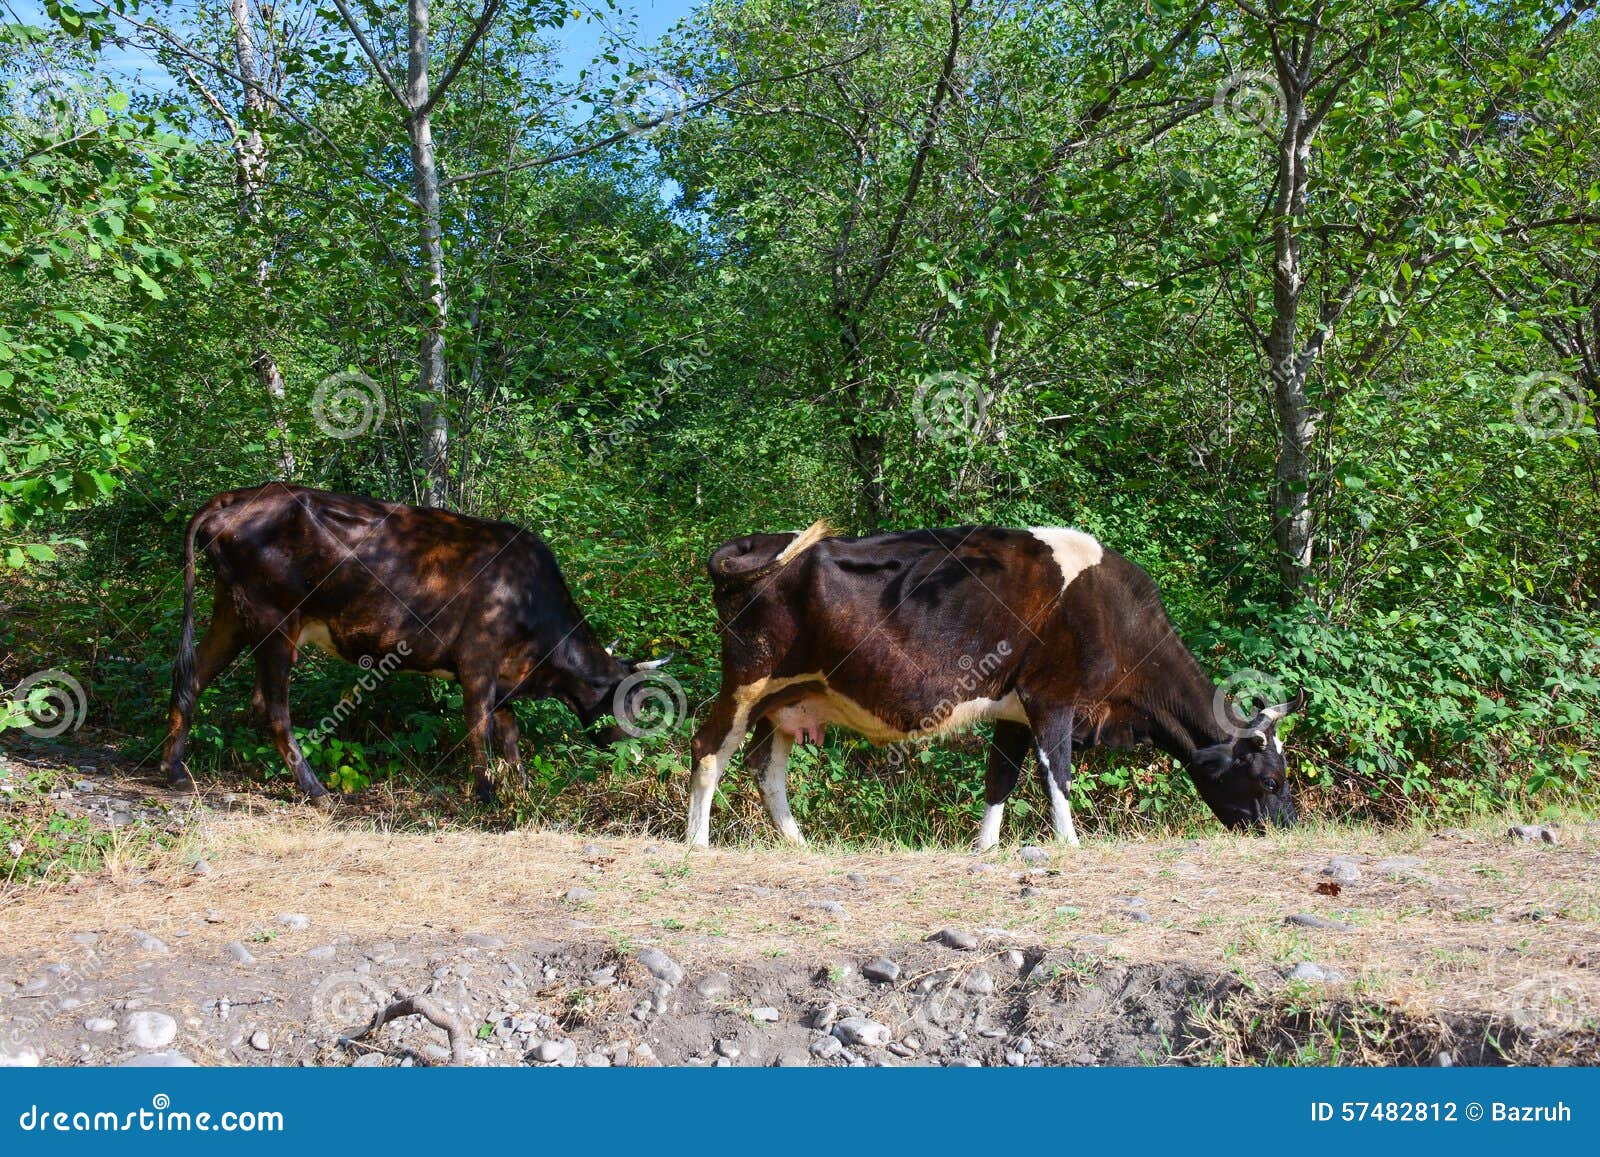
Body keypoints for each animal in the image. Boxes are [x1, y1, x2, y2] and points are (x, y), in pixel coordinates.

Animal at [158, 483, 666, 803]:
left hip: (232, 611)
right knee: (272, 707)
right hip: (274, 620)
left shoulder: (506, 674)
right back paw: (316, 791)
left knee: (192, 678)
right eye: (637, 702)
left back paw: (173, 770)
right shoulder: (477, 659)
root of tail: (236, 498)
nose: (640, 755)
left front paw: (520, 787)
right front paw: (486, 796)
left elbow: (510, 732)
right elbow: (480, 727)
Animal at [687, 522, 1301, 848]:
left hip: (788, 700)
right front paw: (1070, 845)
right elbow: (1058, 775)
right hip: (747, 680)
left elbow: (999, 781)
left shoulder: (1013, 712)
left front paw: (985, 849)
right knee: (708, 747)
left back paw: (800, 844)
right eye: (1271, 780)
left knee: (767, 769)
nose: (1290, 827)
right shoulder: (1052, 697)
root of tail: (759, 541)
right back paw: (698, 844)